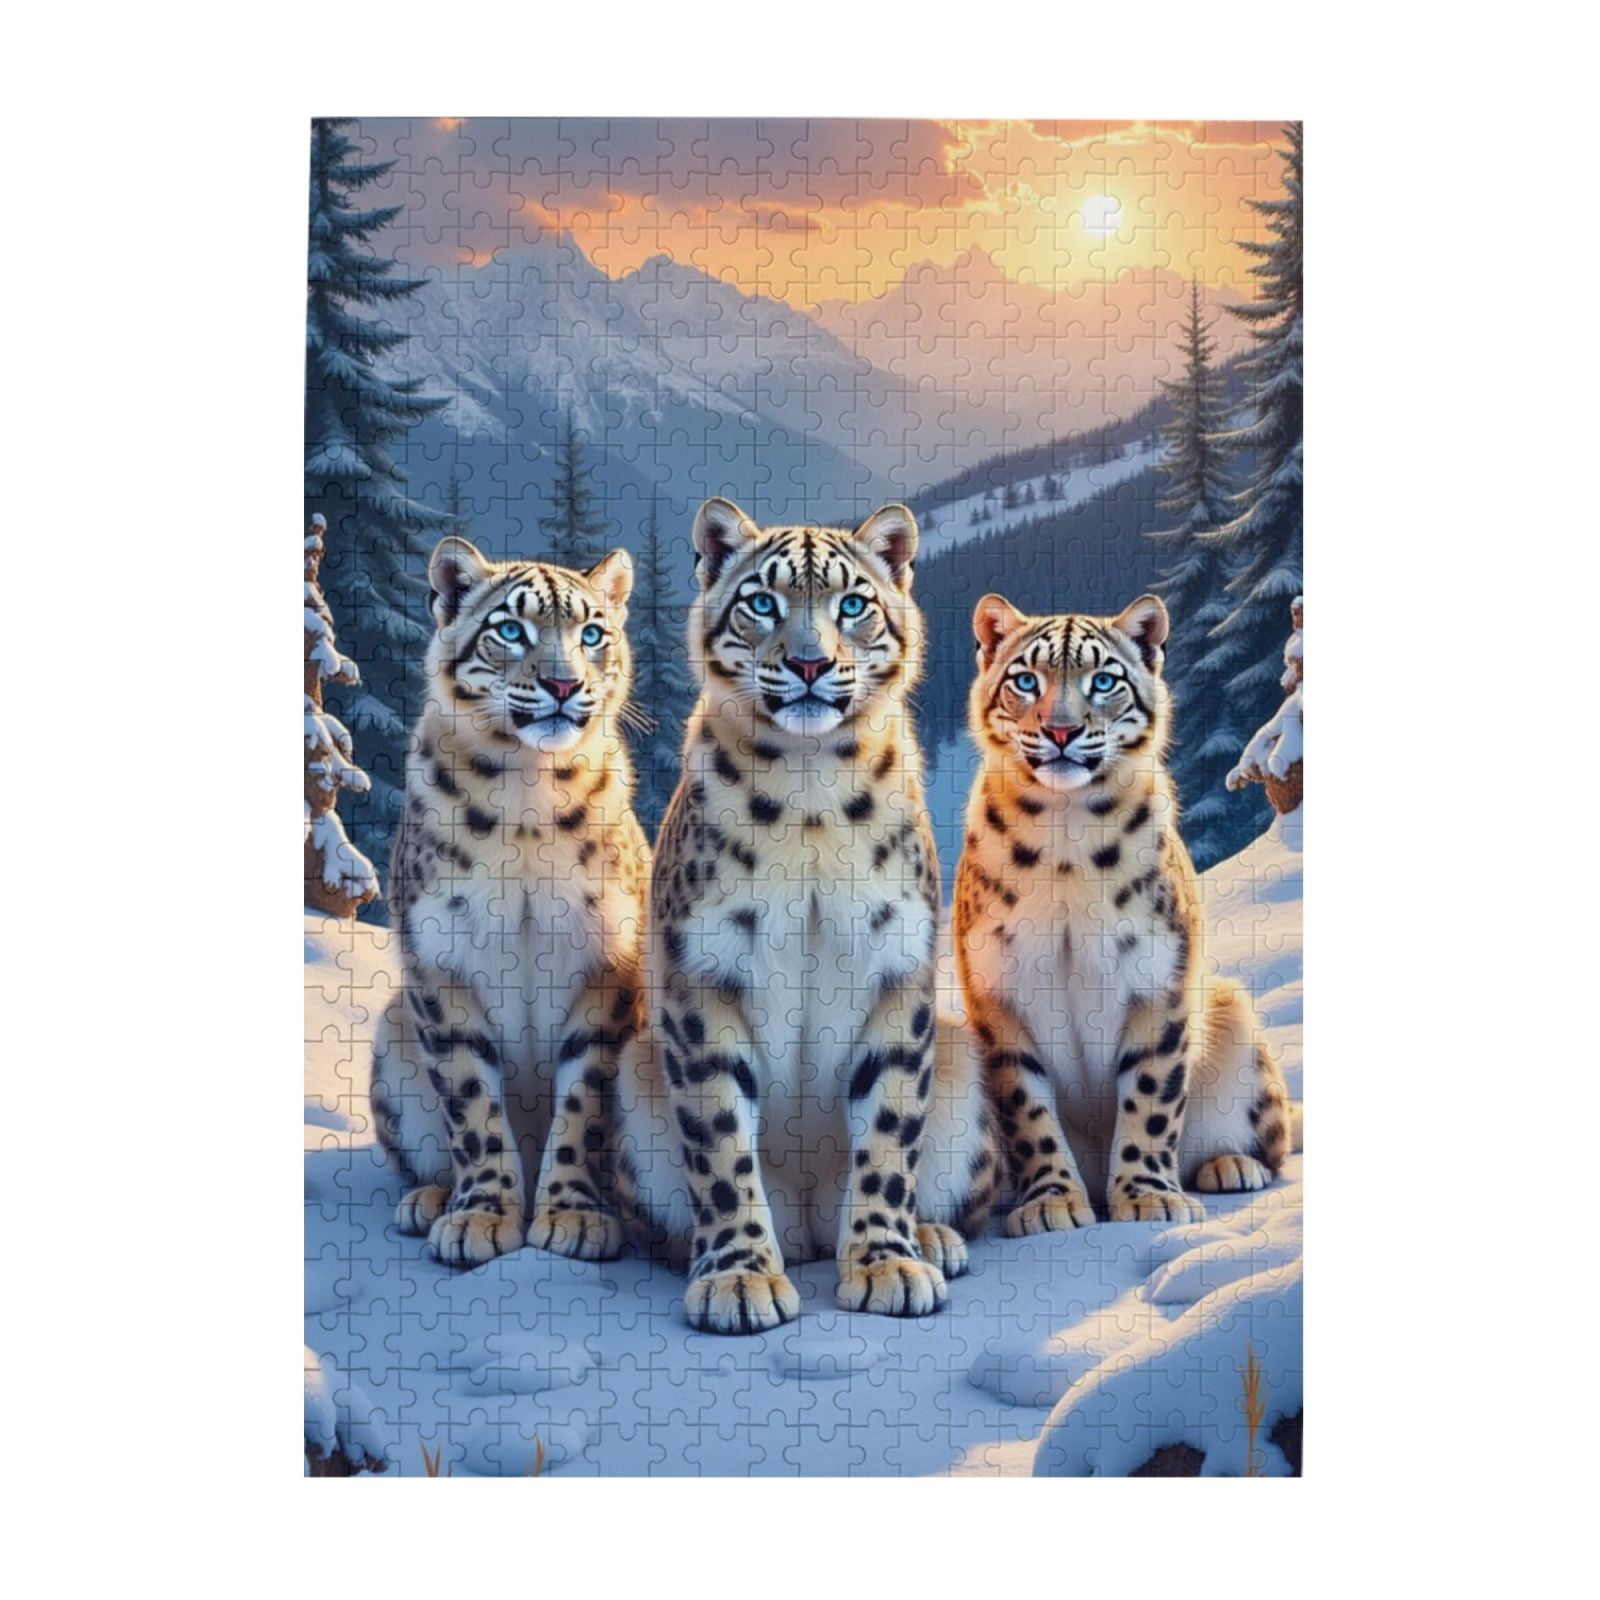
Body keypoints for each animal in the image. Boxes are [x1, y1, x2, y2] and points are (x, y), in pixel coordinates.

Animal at [370, 536, 649, 1268]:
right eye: (511, 629)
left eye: (591, 632)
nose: (563, 684)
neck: (527, 800)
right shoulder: (442, 966)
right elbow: (471, 1102)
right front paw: (483, 1215)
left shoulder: (607, 963)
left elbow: (582, 1101)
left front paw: (574, 1215)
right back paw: (428, 1200)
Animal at [616, 498, 999, 1335]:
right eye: (762, 601)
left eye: (852, 604)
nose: (810, 665)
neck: (811, 795)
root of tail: (813, 1224)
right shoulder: (704, 978)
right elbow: (721, 1144)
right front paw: (739, 1278)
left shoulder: (897, 973)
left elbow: (888, 1135)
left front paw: (887, 1264)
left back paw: (929, 1238)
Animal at [953, 589, 1290, 1236]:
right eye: (1026, 679)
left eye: (1104, 679)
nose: (1060, 729)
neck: (1066, 843)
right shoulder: (998, 993)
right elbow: (1027, 1108)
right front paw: (1052, 1201)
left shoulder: (1157, 981)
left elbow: (1152, 1096)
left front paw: (1146, 1196)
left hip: (1235, 1018)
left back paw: (1230, 1165)